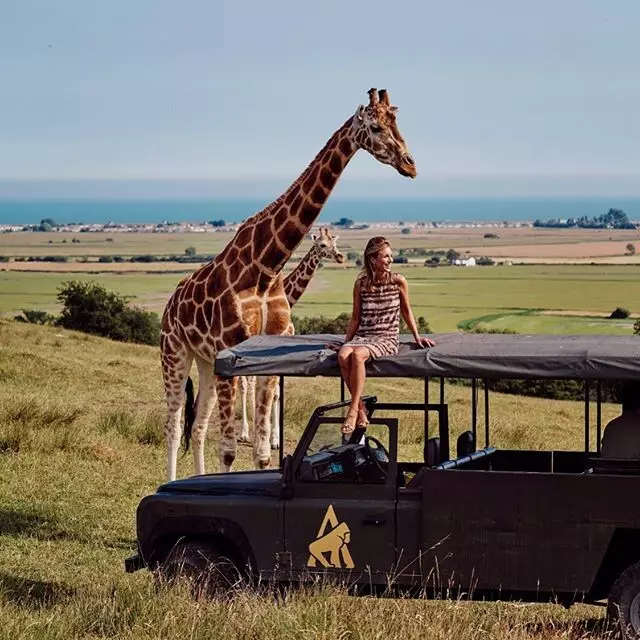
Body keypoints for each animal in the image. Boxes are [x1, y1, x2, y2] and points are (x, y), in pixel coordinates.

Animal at [238, 228, 344, 448]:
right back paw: (245, 432)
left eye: (335, 242)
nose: (339, 256)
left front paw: (275, 438)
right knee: (245, 385)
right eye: (322, 244)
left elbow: (277, 392)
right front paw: (266, 436)